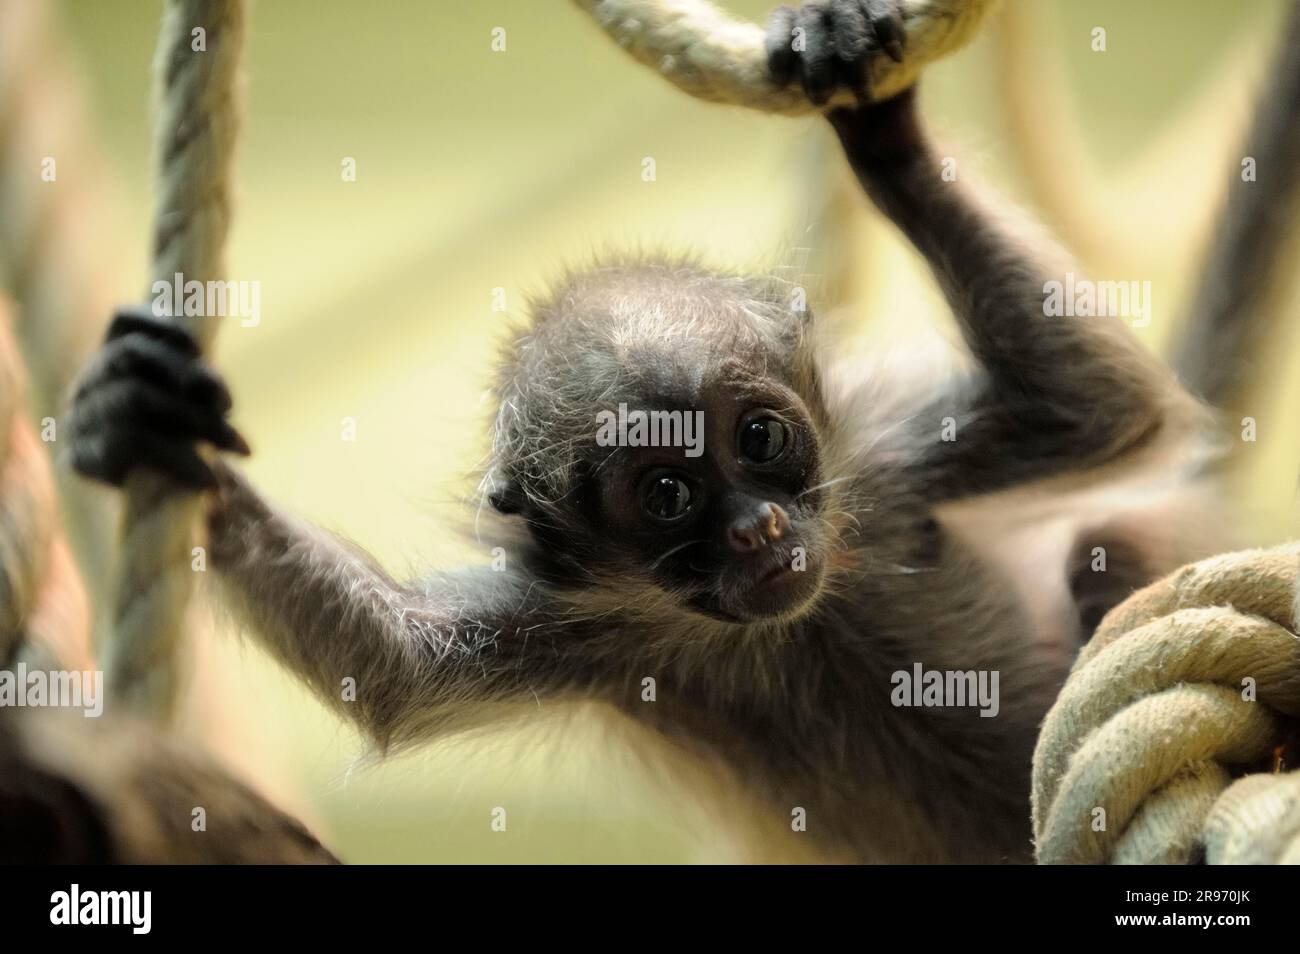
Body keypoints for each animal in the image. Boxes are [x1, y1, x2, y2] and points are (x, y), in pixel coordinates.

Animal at [65, 0, 1300, 862]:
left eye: (759, 441)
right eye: (665, 496)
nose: (757, 533)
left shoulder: (880, 467)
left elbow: (1098, 408)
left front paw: (879, 132)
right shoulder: (577, 623)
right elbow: (394, 671)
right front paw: (144, 427)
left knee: (1107, 538)